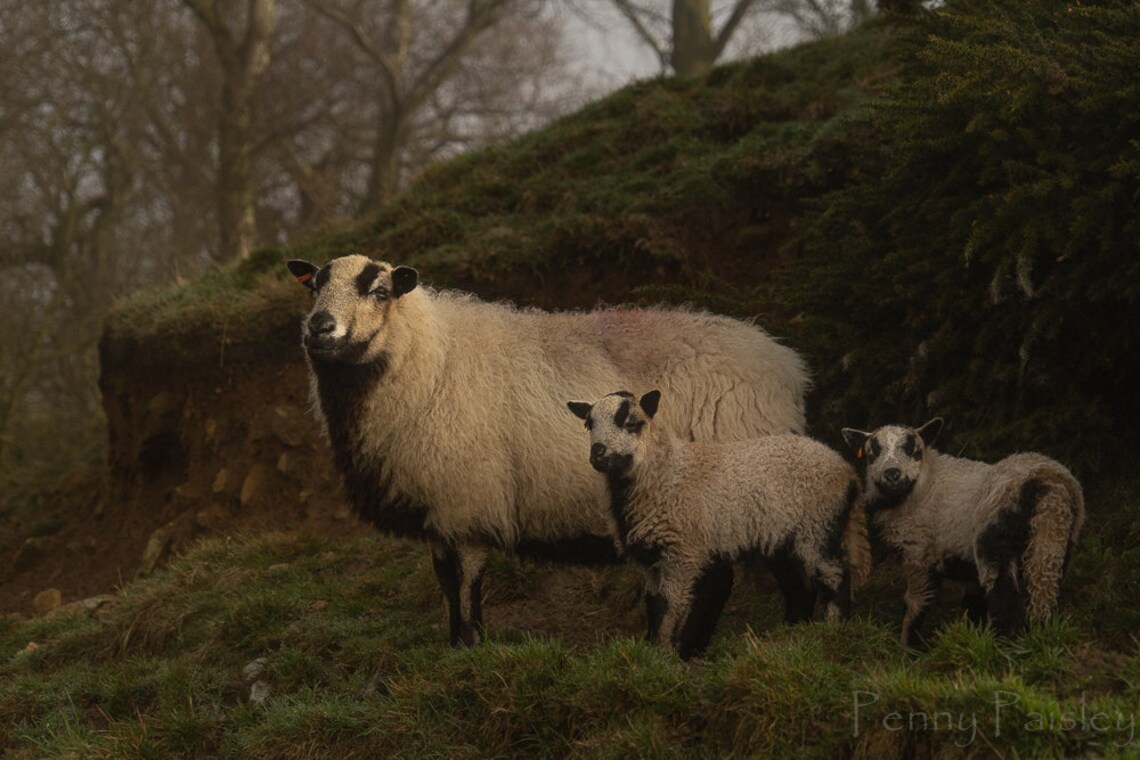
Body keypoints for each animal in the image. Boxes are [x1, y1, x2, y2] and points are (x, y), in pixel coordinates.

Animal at [285, 254, 811, 647]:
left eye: (379, 291)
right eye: (315, 288)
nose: (320, 327)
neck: (428, 360)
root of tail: (785, 367)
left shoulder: (467, 499)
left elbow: (466, 581)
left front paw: (470, 647)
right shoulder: (437, 505)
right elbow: (445, 581)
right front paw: (453, 646)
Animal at [567, 389, 872, 659]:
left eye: (632, 423)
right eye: (589, 424)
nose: (598, 454)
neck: (666, 472)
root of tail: (847, 472)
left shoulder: (682, 552)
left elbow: (669, 603)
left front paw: (664, 654)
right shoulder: (653, 557)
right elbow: (653, 602)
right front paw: (653, 649)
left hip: (817, 527)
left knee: (835, 575)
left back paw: (832, 629)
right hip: (785, 538)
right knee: (800, 586)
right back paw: (791, 633)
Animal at [840, 419, 1085, 645]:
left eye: (914, 450)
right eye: (873, 452)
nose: (892, 474)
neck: (924, 484)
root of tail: (1051, 487)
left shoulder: (919, 552)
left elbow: (916, 602)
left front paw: (908, 647)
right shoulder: (964, 561)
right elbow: (972, 603)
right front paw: (970, 635)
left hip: (993, 540)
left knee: (1003, 597)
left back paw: (997, 646)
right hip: (1056, 545)